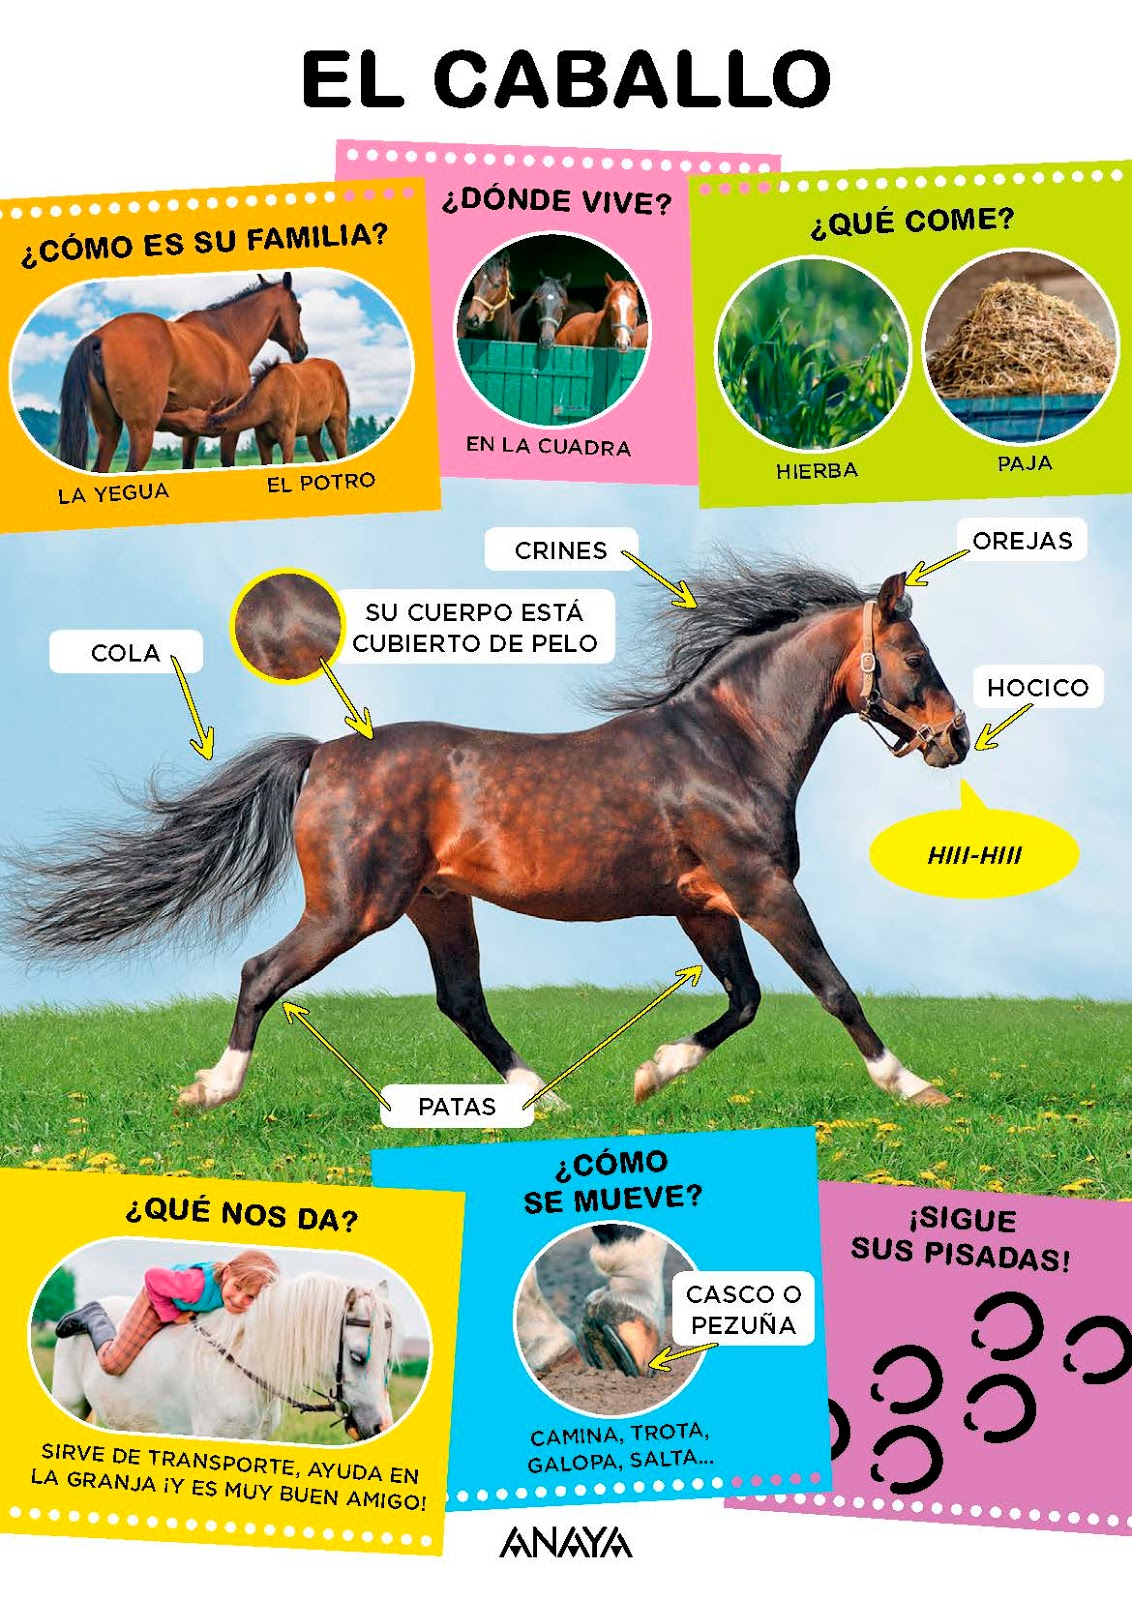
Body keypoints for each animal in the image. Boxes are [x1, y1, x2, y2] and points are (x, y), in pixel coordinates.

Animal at [9, 555, 969, 1114]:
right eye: (916, 658)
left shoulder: (705, 905)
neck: (727, 746)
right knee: (262, 974)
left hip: (438, 904)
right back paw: (210, 1090)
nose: (956, 738)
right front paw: (916, 1087)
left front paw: (649, 1073)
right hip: (354, 908)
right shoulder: (762, 888)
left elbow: (745, 1001)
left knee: (462, 1000)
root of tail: (323, 753)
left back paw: (544, 1101)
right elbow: (831, 990)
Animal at [57, 273, 308, 474]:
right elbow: (227, 460)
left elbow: (188, 463)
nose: (302, 350)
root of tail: (98, 337)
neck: (227, 335)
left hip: (109, 431)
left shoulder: (192, 431)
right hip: (142, 433)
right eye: (298, 309)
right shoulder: (231, 420)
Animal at [181, 357, 350, 467]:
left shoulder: (288, 436)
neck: (269, 400)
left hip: (336, 423)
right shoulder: (262, 439)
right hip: (313, 431)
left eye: (188, 423)